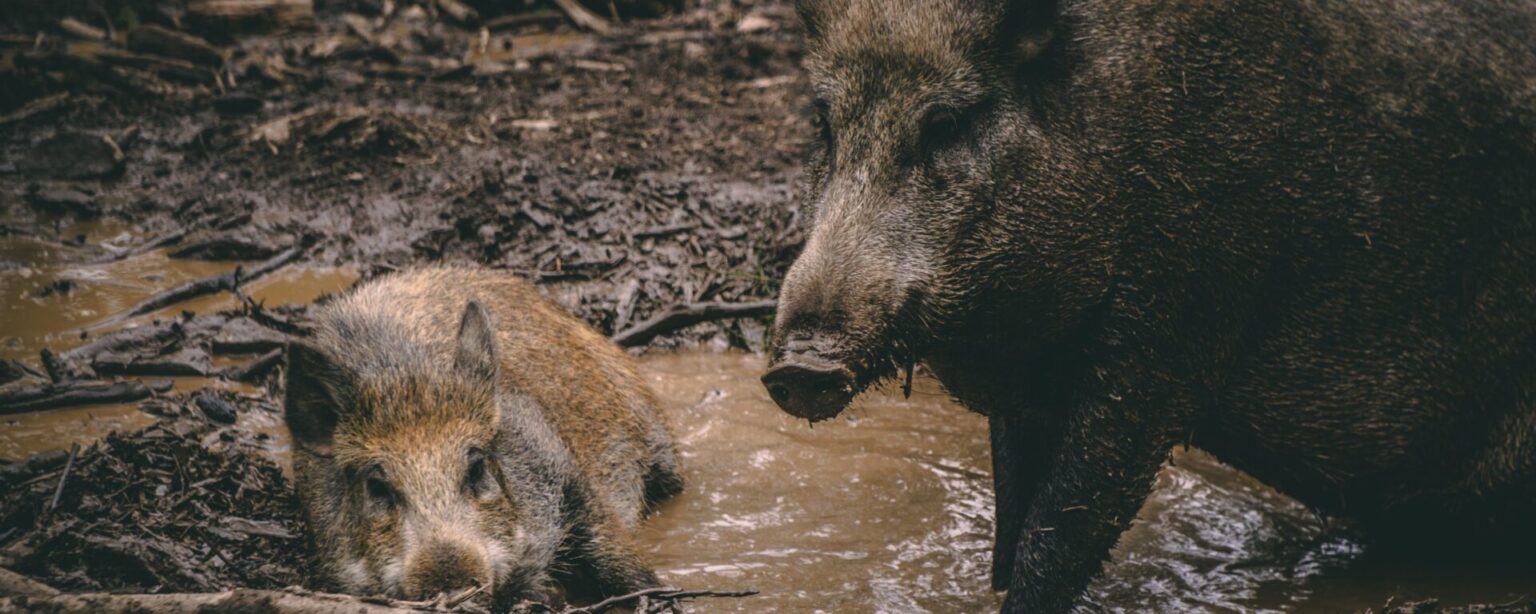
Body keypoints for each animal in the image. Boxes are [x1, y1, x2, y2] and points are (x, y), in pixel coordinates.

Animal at [284, 267, 682, 609]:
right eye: (377, 486)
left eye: (476, 467)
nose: (453, 584)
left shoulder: (568, 474)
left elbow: (618, 557)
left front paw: (659, 595)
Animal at [761, 0, 1536, 612]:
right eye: (825, 123)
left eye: (946, 123)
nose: (798, 367)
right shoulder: (1033, 377)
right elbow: (1011, 519)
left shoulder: (1180, 324)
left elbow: (1060, 528)